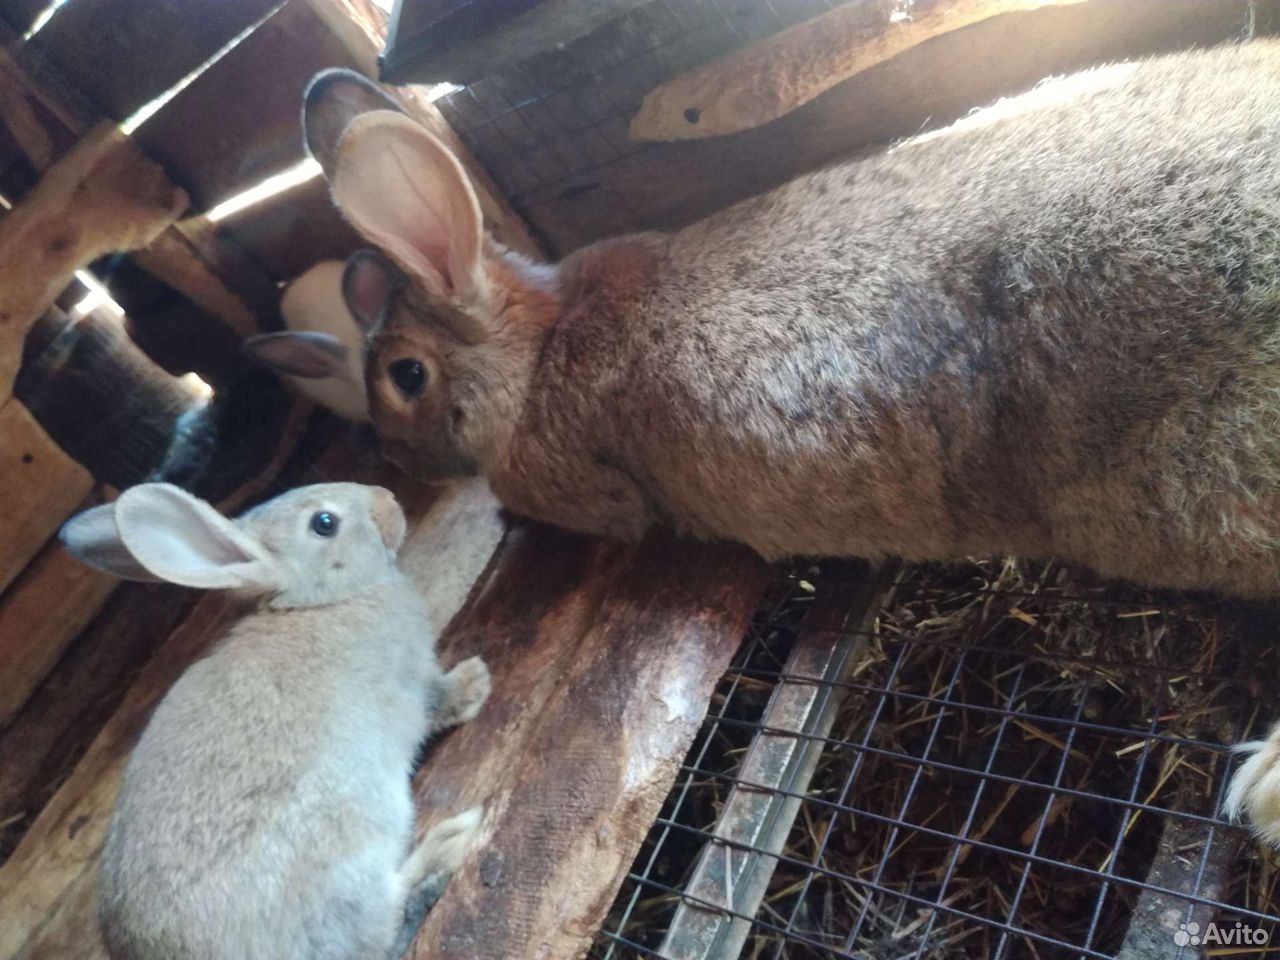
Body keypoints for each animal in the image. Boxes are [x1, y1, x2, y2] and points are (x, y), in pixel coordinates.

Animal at [59, 481, 491, 960]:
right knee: (381, 932)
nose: (387, 498)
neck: (317, 602)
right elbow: (440, 700)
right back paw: (450, 843)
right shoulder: (413, 680)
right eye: (325, 523)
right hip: (353, 854)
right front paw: (476, 680)